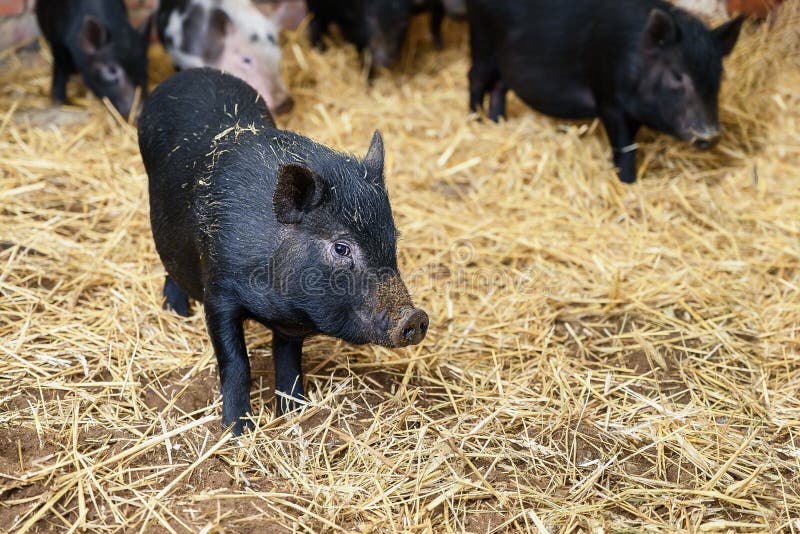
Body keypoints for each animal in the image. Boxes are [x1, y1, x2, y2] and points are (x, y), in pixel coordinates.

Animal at [138, 68, 429, 435]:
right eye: (341, 247)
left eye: (393, 238)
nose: (415, 317)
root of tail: (189, 74)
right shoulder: (219, 294)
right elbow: (236, 363)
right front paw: (238, 431)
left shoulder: (290, 323)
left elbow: (289, 362)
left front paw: (295, 415)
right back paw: (176, 311)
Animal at [465, 0, 744, 183]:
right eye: (677, 75)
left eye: (719, 74)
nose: (711, 135)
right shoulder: (609, 101)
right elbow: (623, 145)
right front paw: (627, 181)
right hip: (484, 45)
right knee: (474, 78)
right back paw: (475, 121)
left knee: (499, 87)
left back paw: (497, 122)